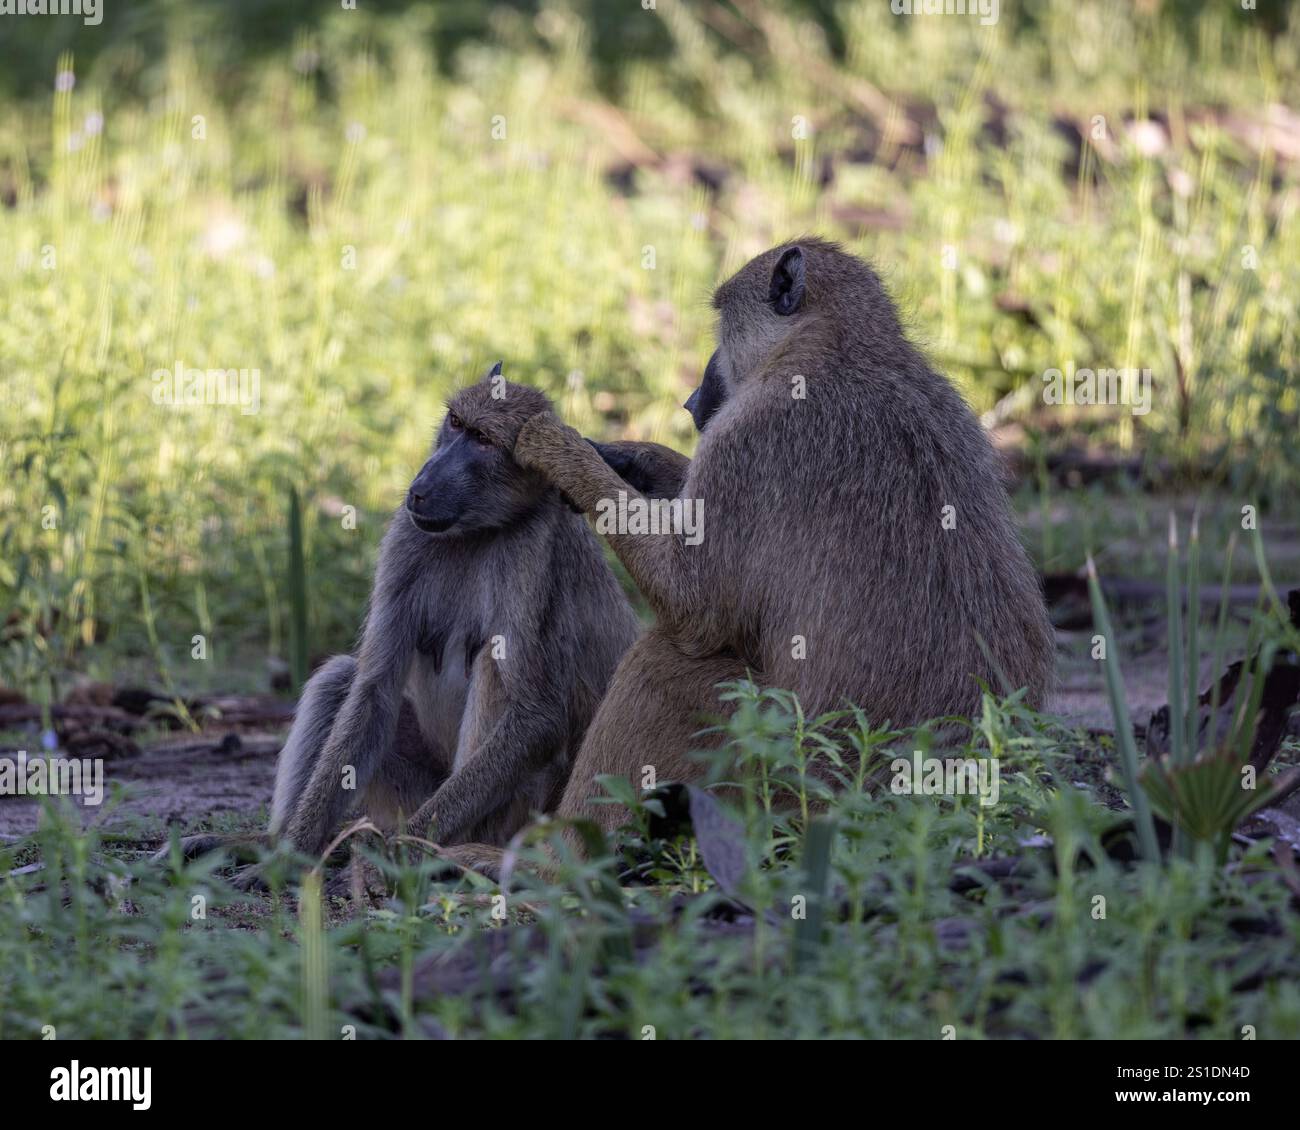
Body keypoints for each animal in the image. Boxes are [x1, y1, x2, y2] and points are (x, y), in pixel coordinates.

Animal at [267, 364, 641, 863]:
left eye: (483, 440)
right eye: (456, 423)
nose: (421, 488)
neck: (477, 530)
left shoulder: (530, 552)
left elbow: (537, 715)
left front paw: (399, 856)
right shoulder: (407, 536)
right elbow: (373, 689)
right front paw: (289, 857)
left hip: (513, 818)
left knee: (491, 668)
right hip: (410, 793)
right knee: (340, 678)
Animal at [510, 237, 1056, 837]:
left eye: (720, 322)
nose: (692, 398)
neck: (837, 350)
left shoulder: (748, 438)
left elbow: (694, 608)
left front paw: (556, 448)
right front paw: (629, 460)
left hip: (773, 764)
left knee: (663, 659)